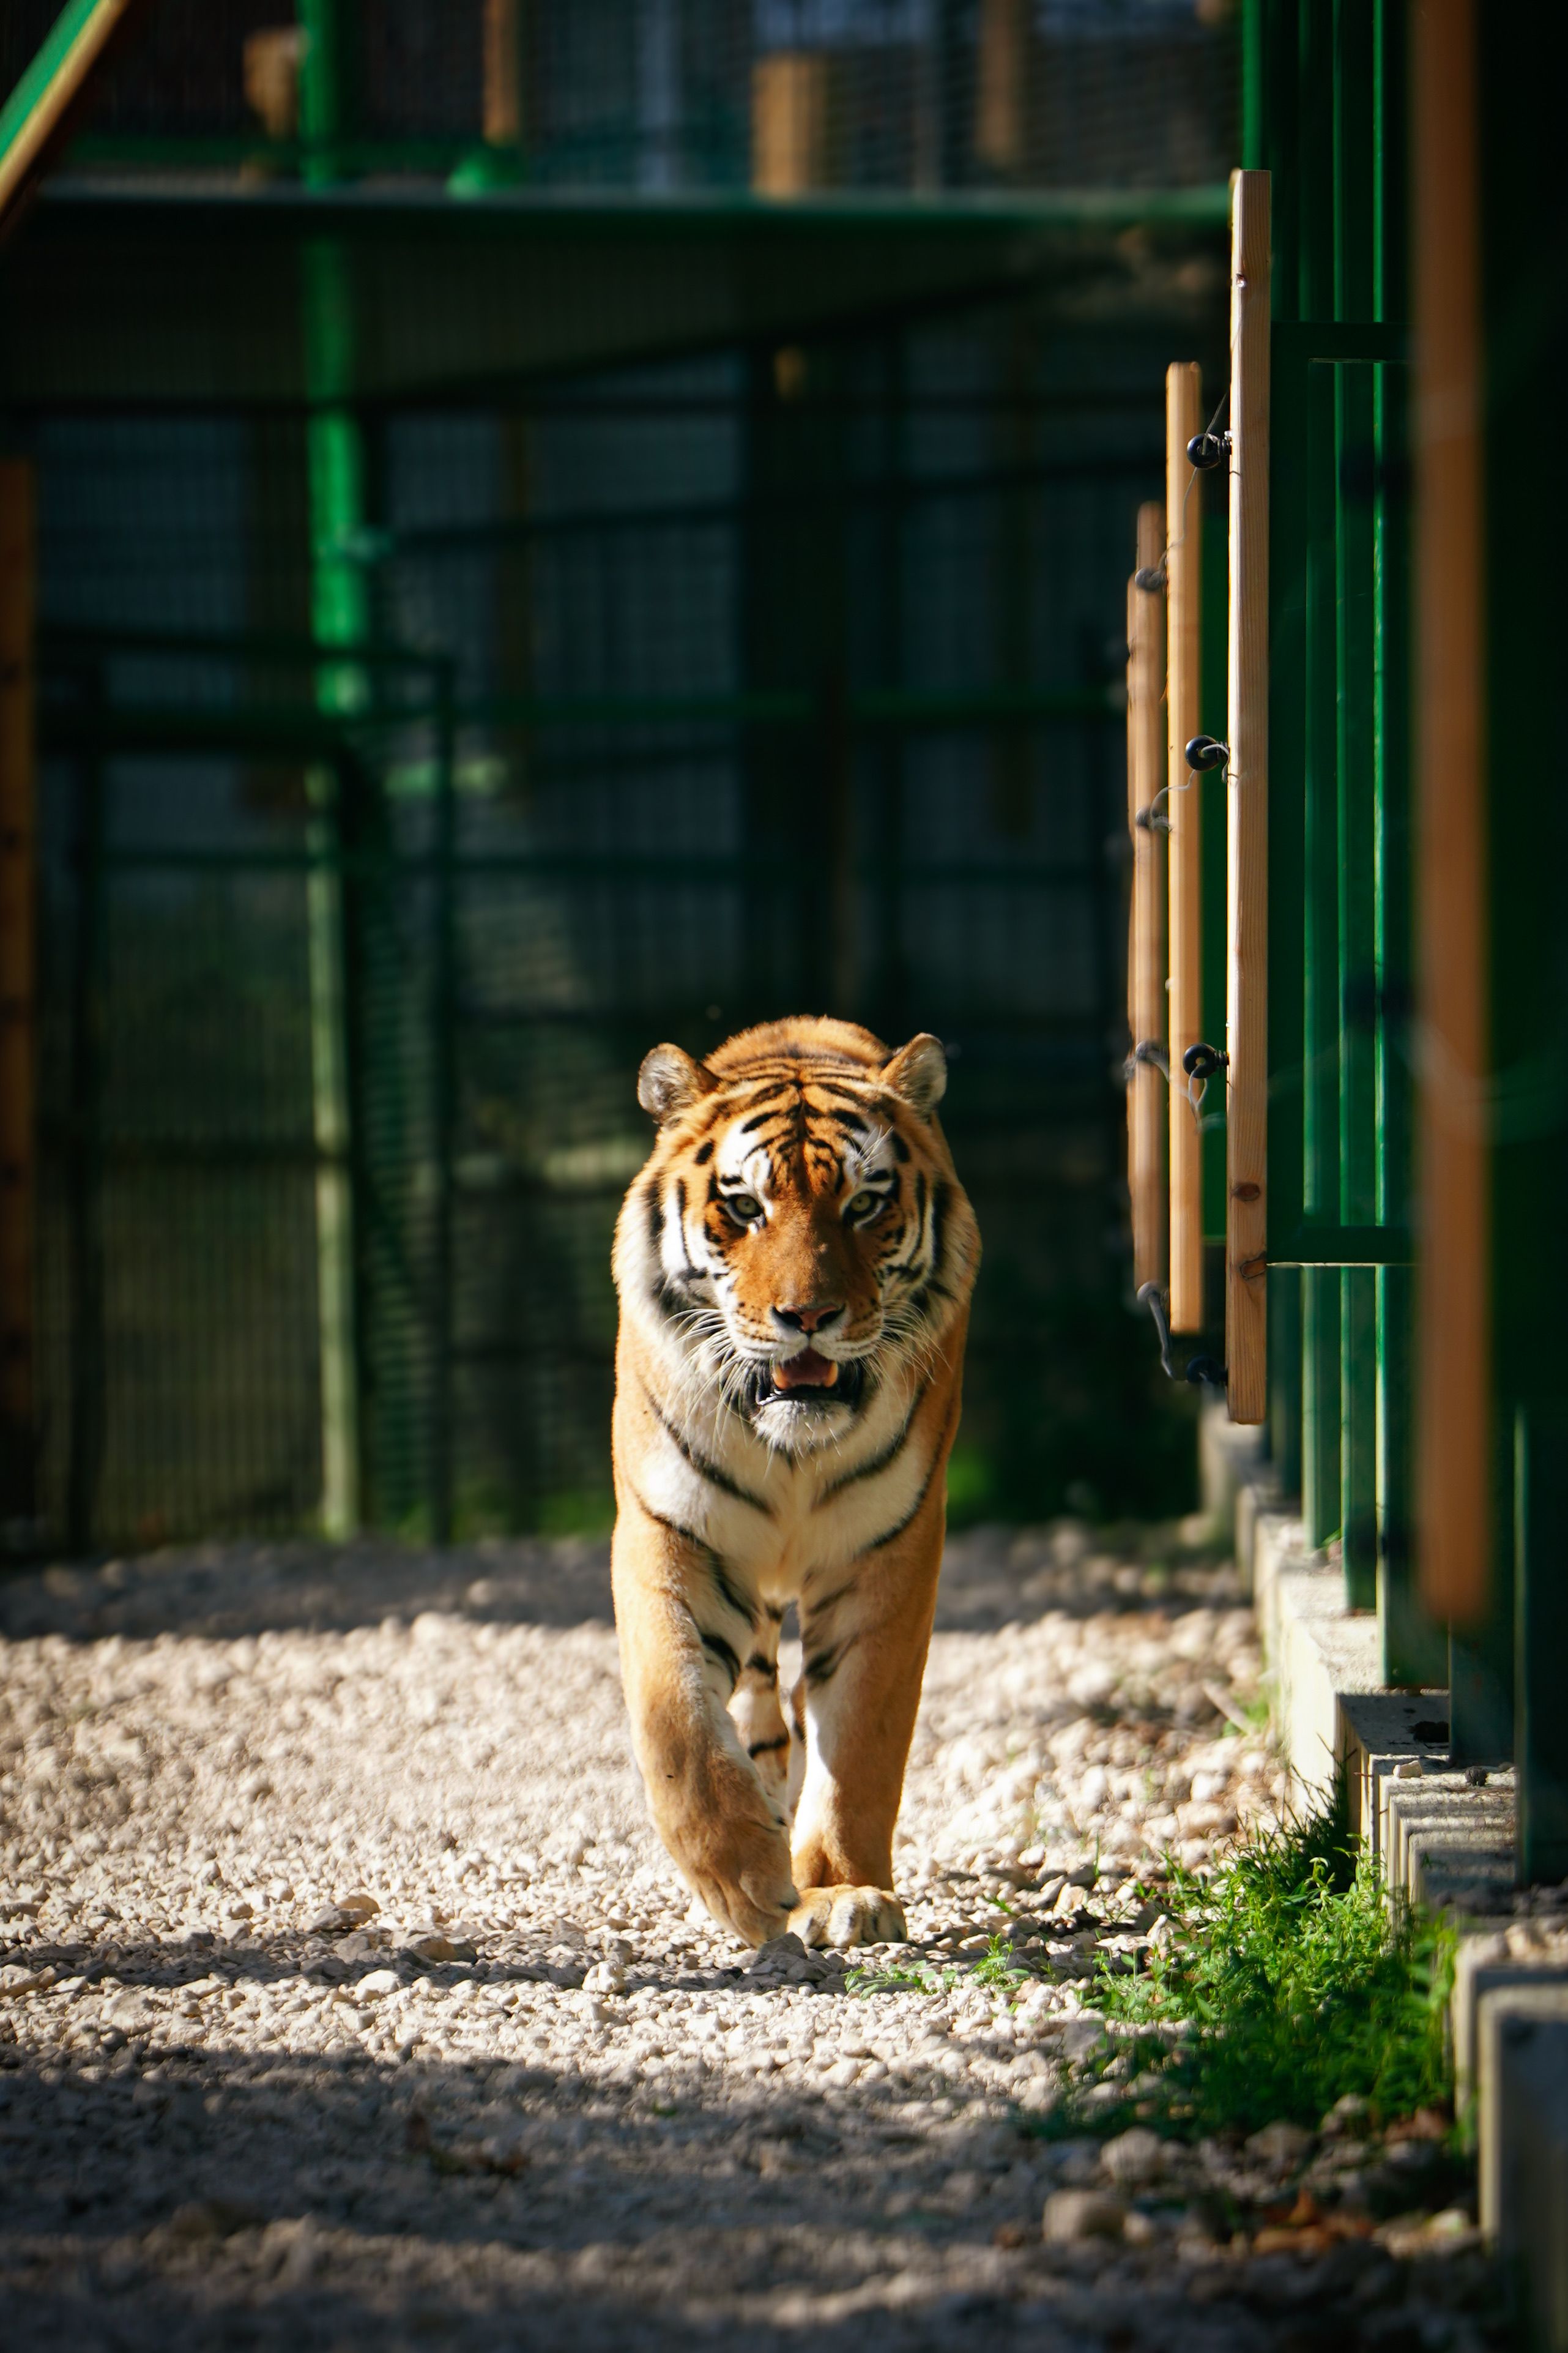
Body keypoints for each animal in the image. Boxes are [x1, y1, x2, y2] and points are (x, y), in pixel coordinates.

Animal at [610, 1015, 980, 1950]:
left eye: (865, 1204)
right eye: (745, 1206)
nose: (807, 1316)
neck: (791, 1455)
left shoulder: (888, 1550)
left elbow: (860, 1743)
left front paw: (842, 1889)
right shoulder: (668, 1533)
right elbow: (678, 1725)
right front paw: (746, 1881)